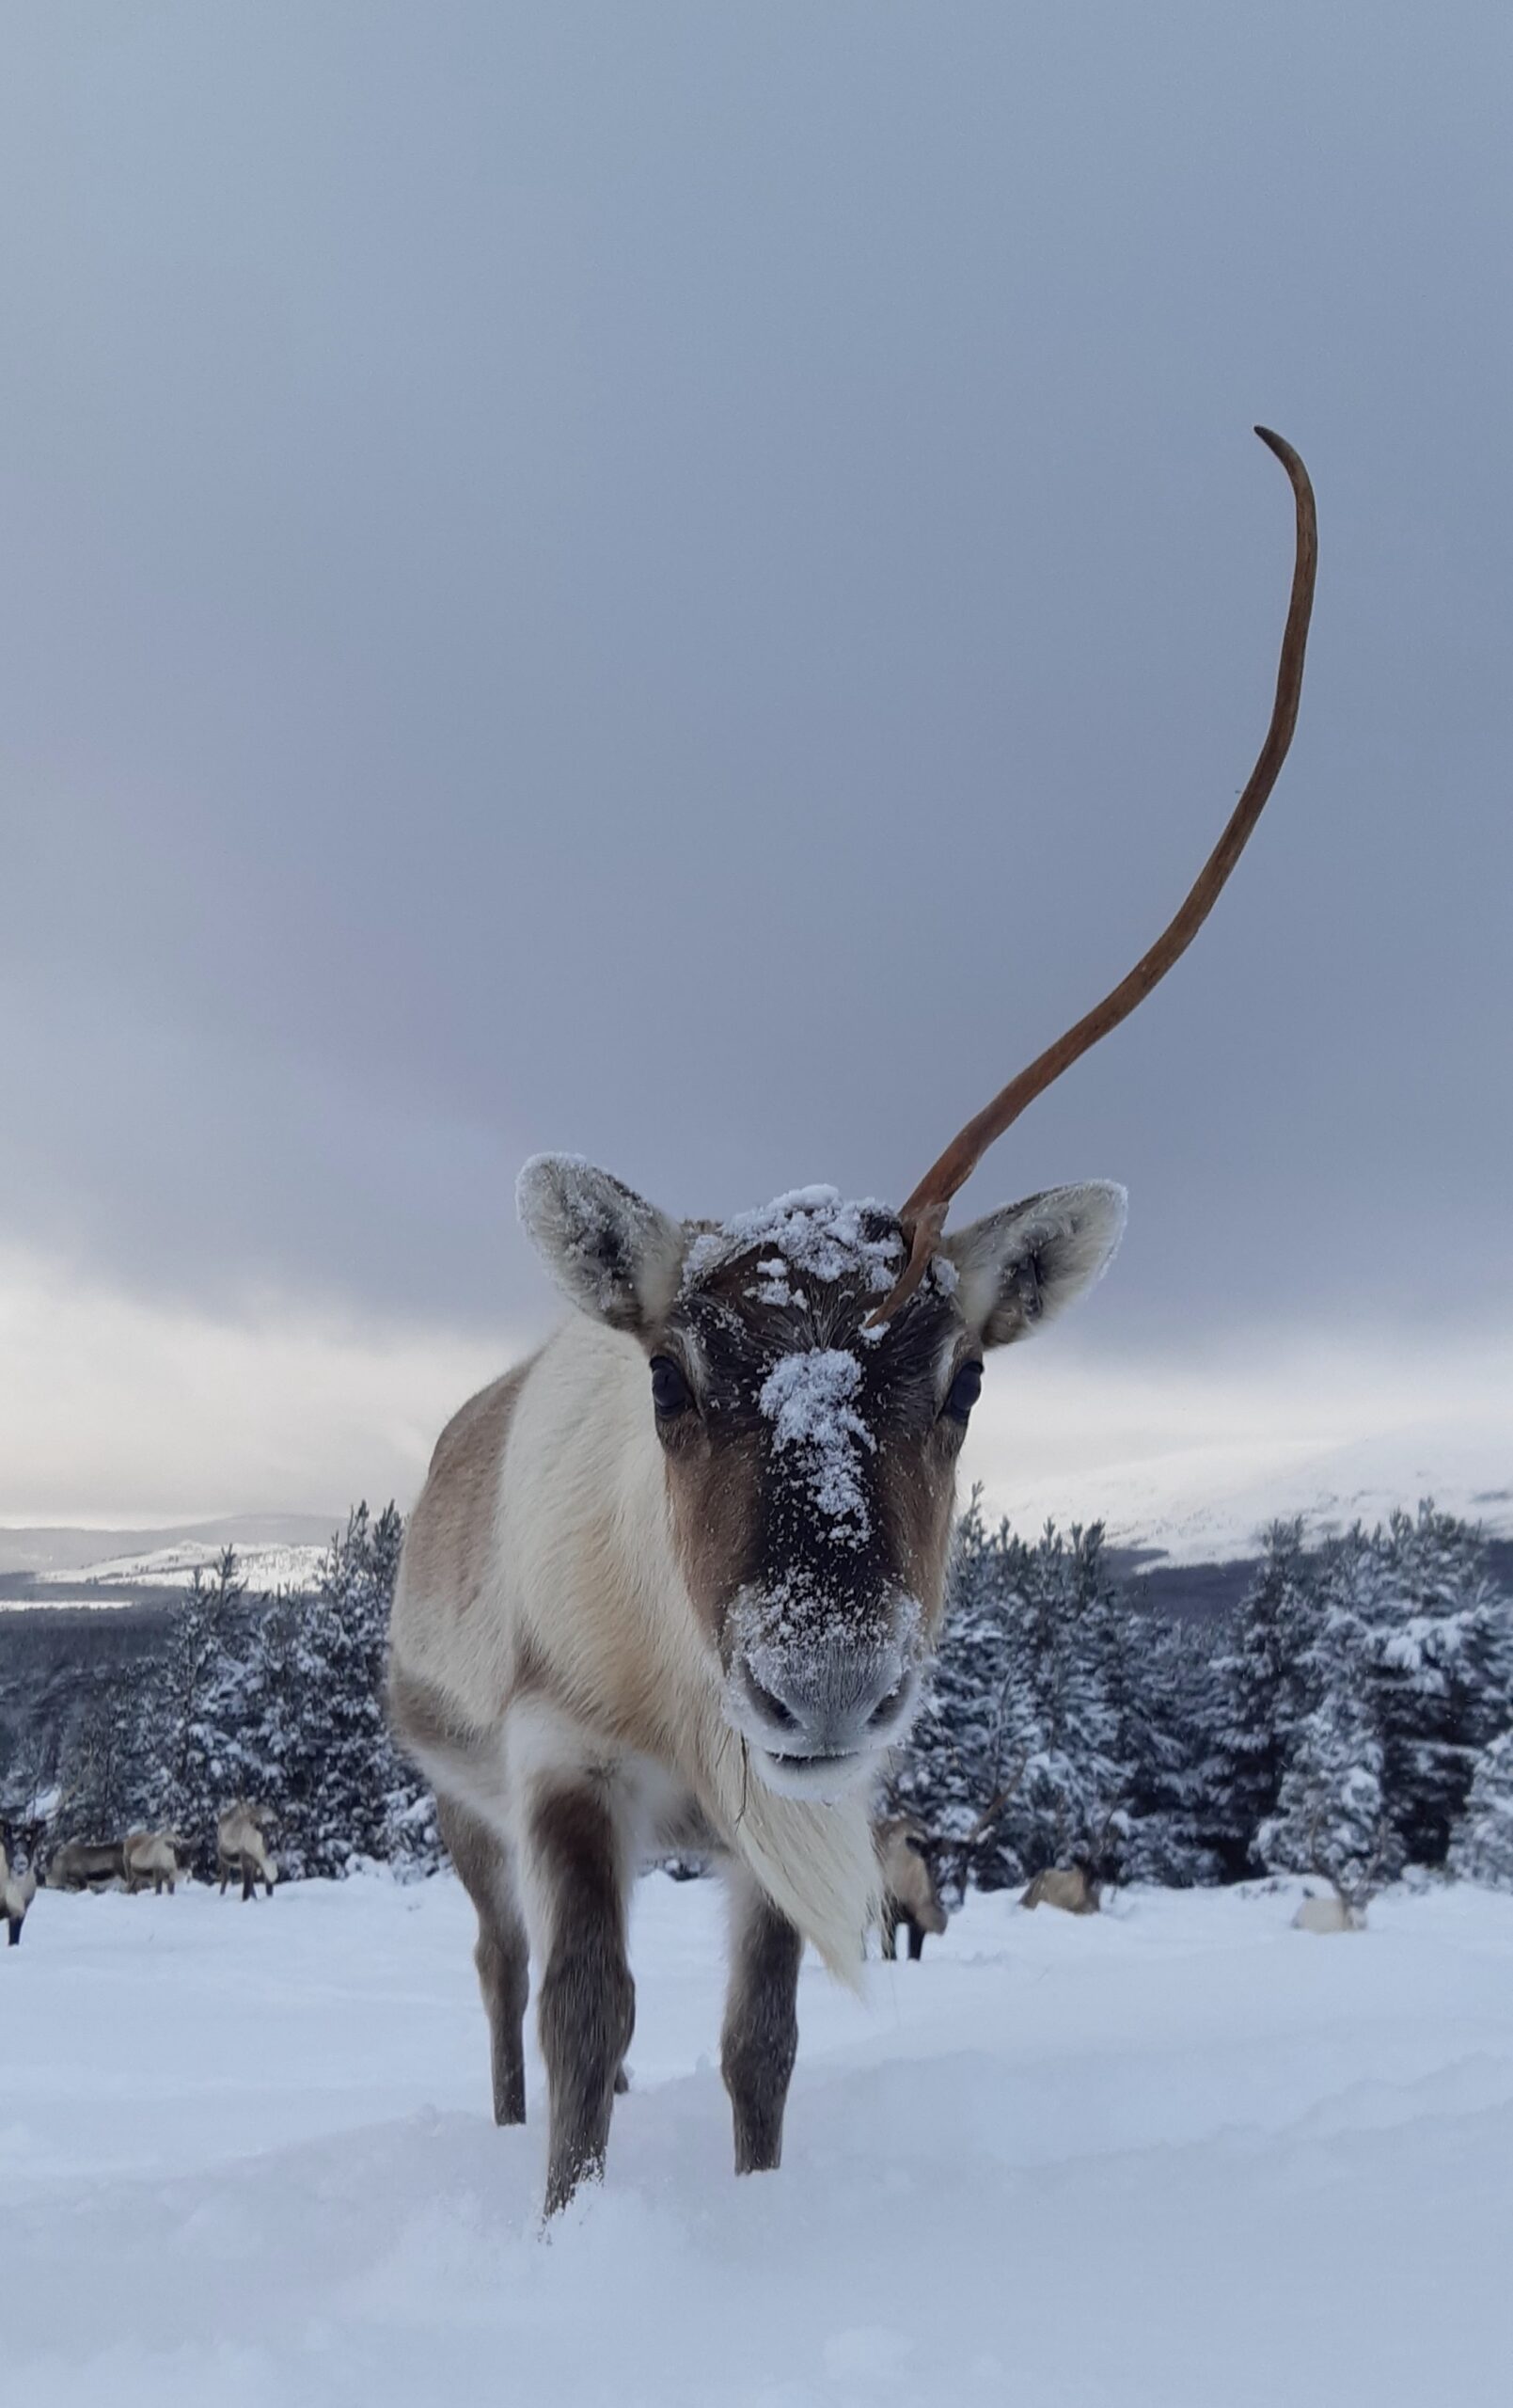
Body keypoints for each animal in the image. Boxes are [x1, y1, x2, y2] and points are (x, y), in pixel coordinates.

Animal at [389, 428, 1317, 2217]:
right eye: (671, 1378)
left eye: (960, 1383)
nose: (819, 1684)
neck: (678, 1691)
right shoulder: (556, 1768)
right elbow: (582, 2014)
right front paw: (564, 2222)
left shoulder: (815, 1815)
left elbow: (761, 2041)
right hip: (456, 1803)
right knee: (493, 1971)